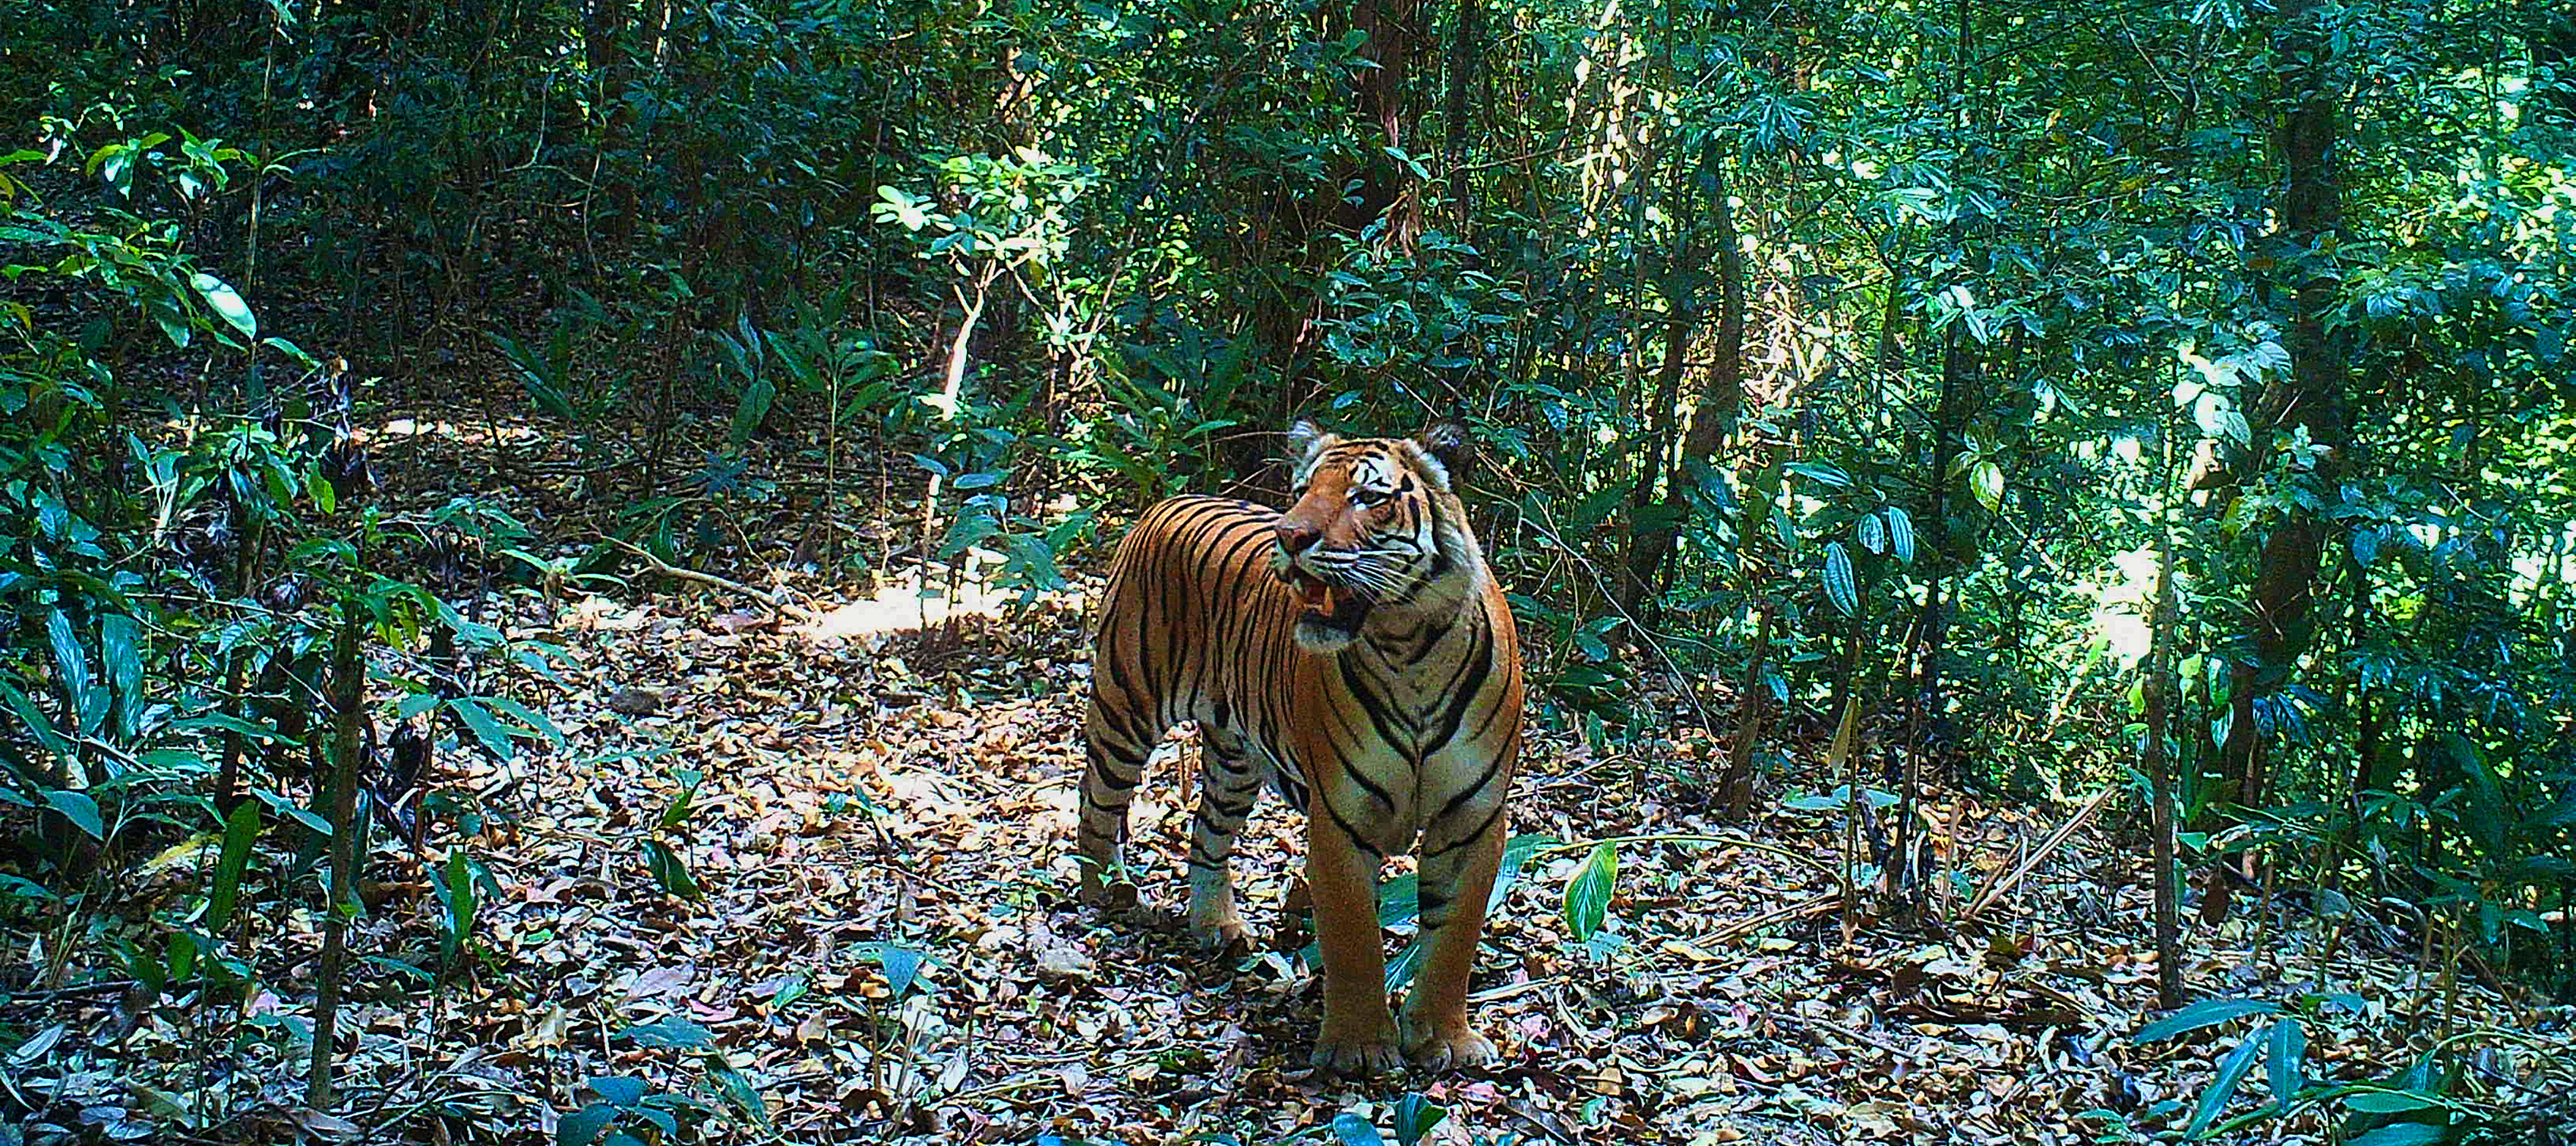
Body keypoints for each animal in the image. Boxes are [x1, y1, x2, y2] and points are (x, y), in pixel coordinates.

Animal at [1075, 419, 1525, 1075]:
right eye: (1303, 490)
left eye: (1367, 496)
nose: (1288, 536)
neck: (1410, 651)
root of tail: (1167, 502)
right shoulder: (1341, 814)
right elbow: (1353, 933)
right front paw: (1360, 1045)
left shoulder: (1474, 818)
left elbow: (1453, 939)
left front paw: (1445, 1038)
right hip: (1126, 704)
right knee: (1096, 803)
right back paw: (1104, 891)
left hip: (1235, 758)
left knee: (1208, 836)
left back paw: (1217, 924)